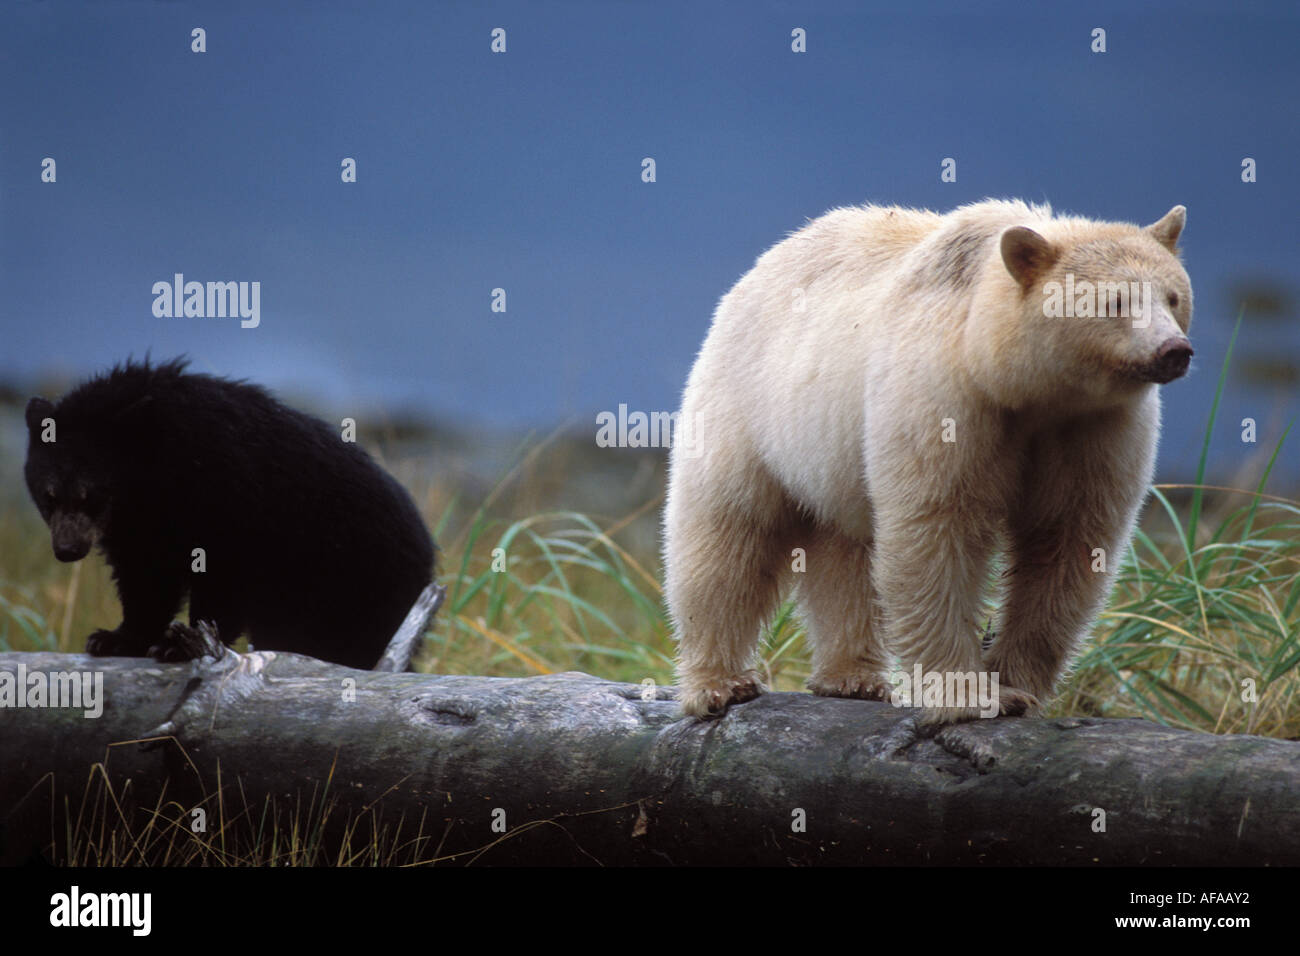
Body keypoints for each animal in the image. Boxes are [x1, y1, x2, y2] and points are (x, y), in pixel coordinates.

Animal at [24, 358, 437, 670]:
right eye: (48, 496)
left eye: (91, 494)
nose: (67, 549)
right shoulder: (141, 525)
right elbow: (145, 577)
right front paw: (116, 638)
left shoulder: (226, 495)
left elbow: (224, 572)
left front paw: (184, 644)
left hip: (354, 586)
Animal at [662, 199, 1192, 724]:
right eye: (1115, 301)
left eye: (1173, 297)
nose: (1174, 351)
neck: (1013, 378)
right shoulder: (947, 397)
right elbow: (936, 530)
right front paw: (970, 696)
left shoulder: (1092, 427)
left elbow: (1068, 541)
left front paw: (1015, 682)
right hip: (749, 407)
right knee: (727, 538)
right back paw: (718, 683)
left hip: (833, 457)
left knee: (844, 549)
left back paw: (852, 677)